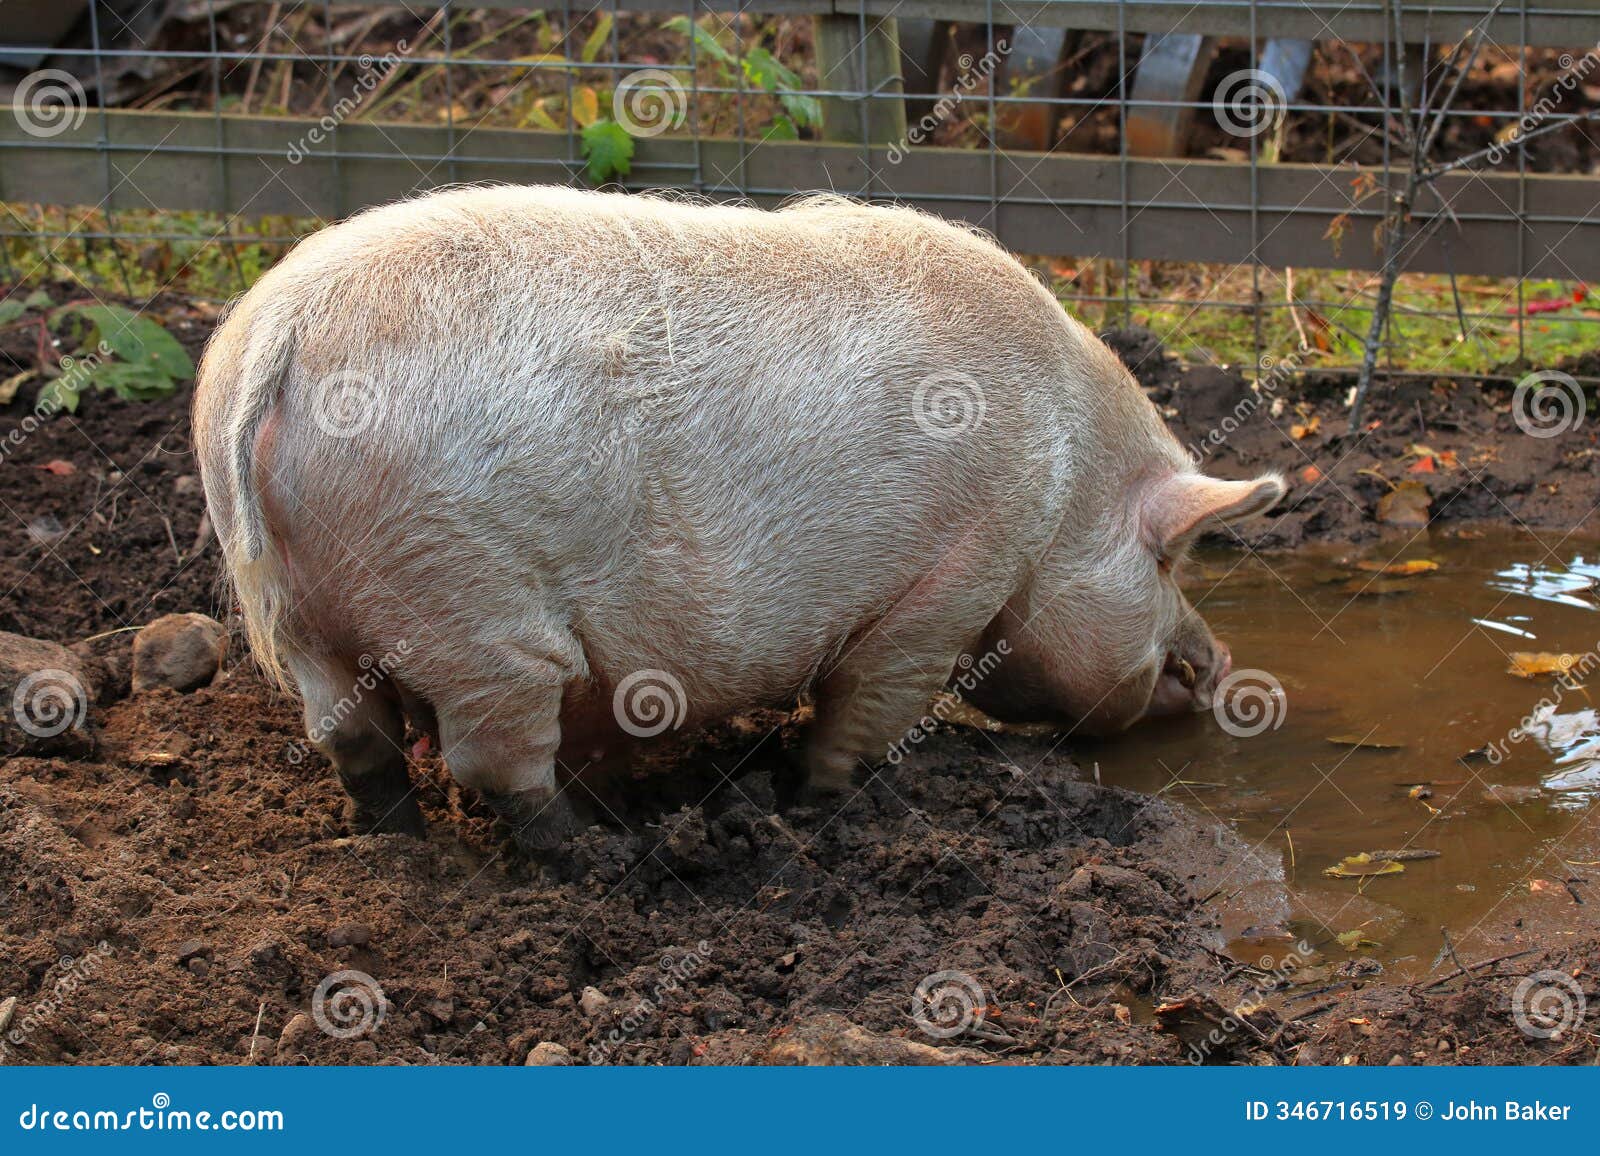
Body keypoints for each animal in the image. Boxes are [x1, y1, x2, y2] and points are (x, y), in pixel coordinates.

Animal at [192, 185, 1283, 851]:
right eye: (1169, 562)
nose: (1222, 663)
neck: (1066, 484)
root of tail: (280, 336)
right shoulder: (949, 581)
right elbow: (868, 707)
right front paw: (815, 806)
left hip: (301, 611)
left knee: (352, 738)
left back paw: (402, 845)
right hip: (463, 594)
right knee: (495, 755)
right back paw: (594, 857)